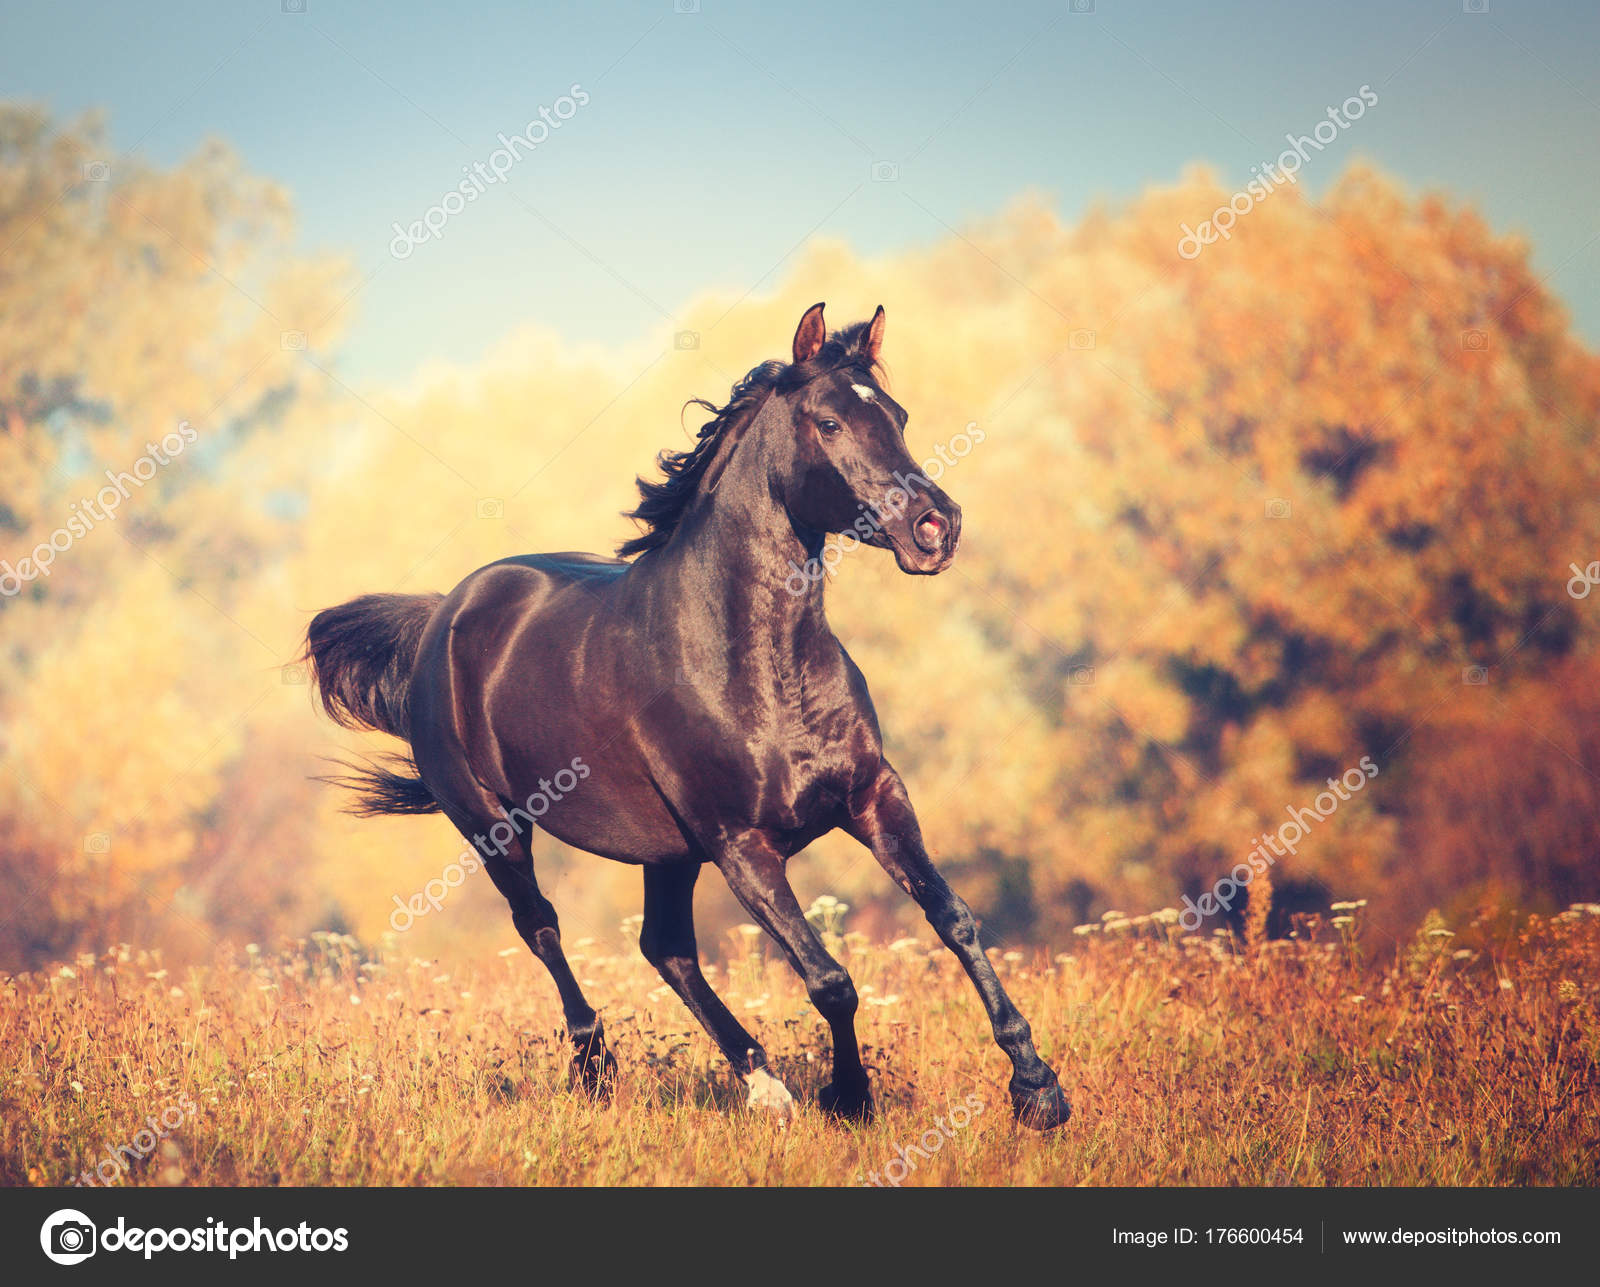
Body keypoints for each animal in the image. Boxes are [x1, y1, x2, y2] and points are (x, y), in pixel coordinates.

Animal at [303, 303, 1070, 1129]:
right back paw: (598, 1068)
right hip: (495, 827)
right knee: (543, 926)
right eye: (829, 421)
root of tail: (443, 615)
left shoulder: (873, 796)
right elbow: (830, 978)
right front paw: (849, 1095)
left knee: (664, 947)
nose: (937, 528)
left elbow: (953, 918)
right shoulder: (742, 845)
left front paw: (1037, 1088)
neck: (755, 665)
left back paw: (761, 1082)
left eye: (895, 416)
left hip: (666, 851)